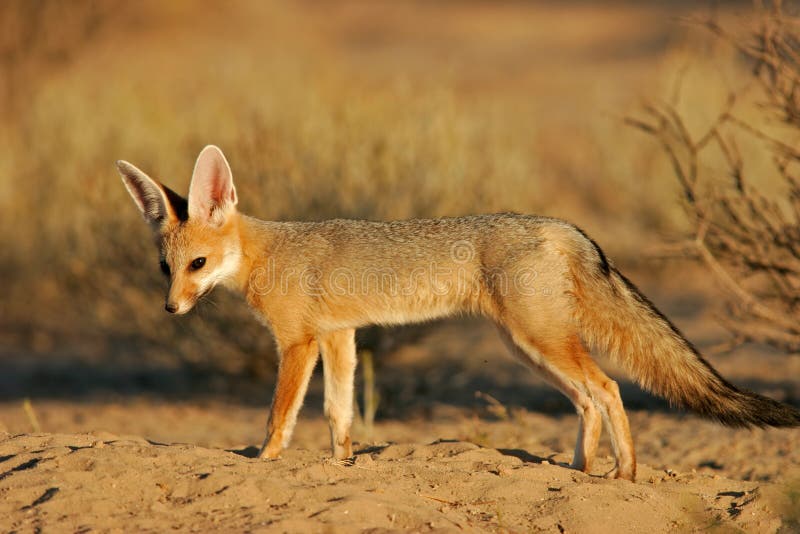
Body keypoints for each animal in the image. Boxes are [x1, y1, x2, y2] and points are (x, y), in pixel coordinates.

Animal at [117, 145, 800, 482]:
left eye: (198, 265)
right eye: (164, 268)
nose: (171, 308)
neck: (267, 254)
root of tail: (557, 223)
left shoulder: (298, 343)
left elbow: (278, 418)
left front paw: (265, 464)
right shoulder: (340, 337)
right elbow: (339, 413)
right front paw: (341, 465)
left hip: (539, 341)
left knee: (607, 388)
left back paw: (624, 474)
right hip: (525, 348)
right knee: (587, 399)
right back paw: (578, 472)